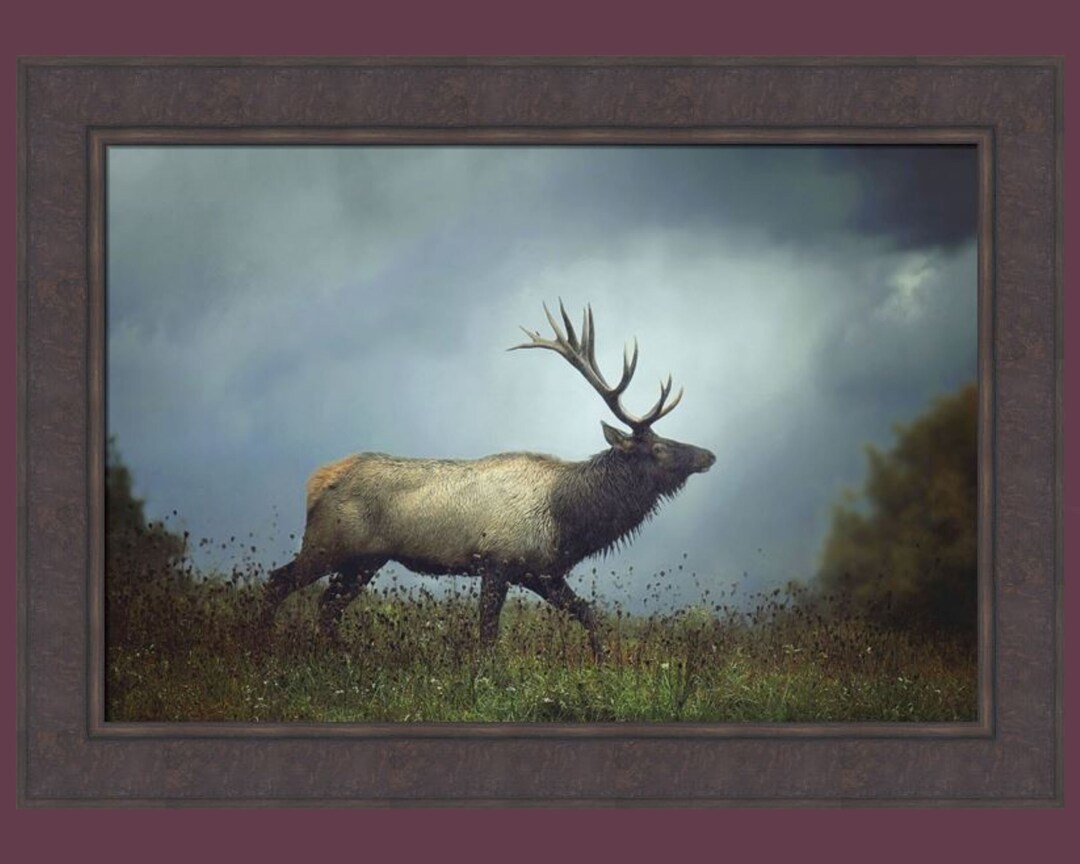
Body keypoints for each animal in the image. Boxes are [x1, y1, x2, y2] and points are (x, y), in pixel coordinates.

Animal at [261, 302, 715, 656]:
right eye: (658, 447)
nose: (708, 455)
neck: (567, 521)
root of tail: (316, 482)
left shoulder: (541, 573)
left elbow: (589, 614)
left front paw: (604, 661)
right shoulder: (498, 562)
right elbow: (488, 636)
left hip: (364, 560)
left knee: (326, 605)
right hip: (328, 543)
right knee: (277, 582)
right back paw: (259, 642)